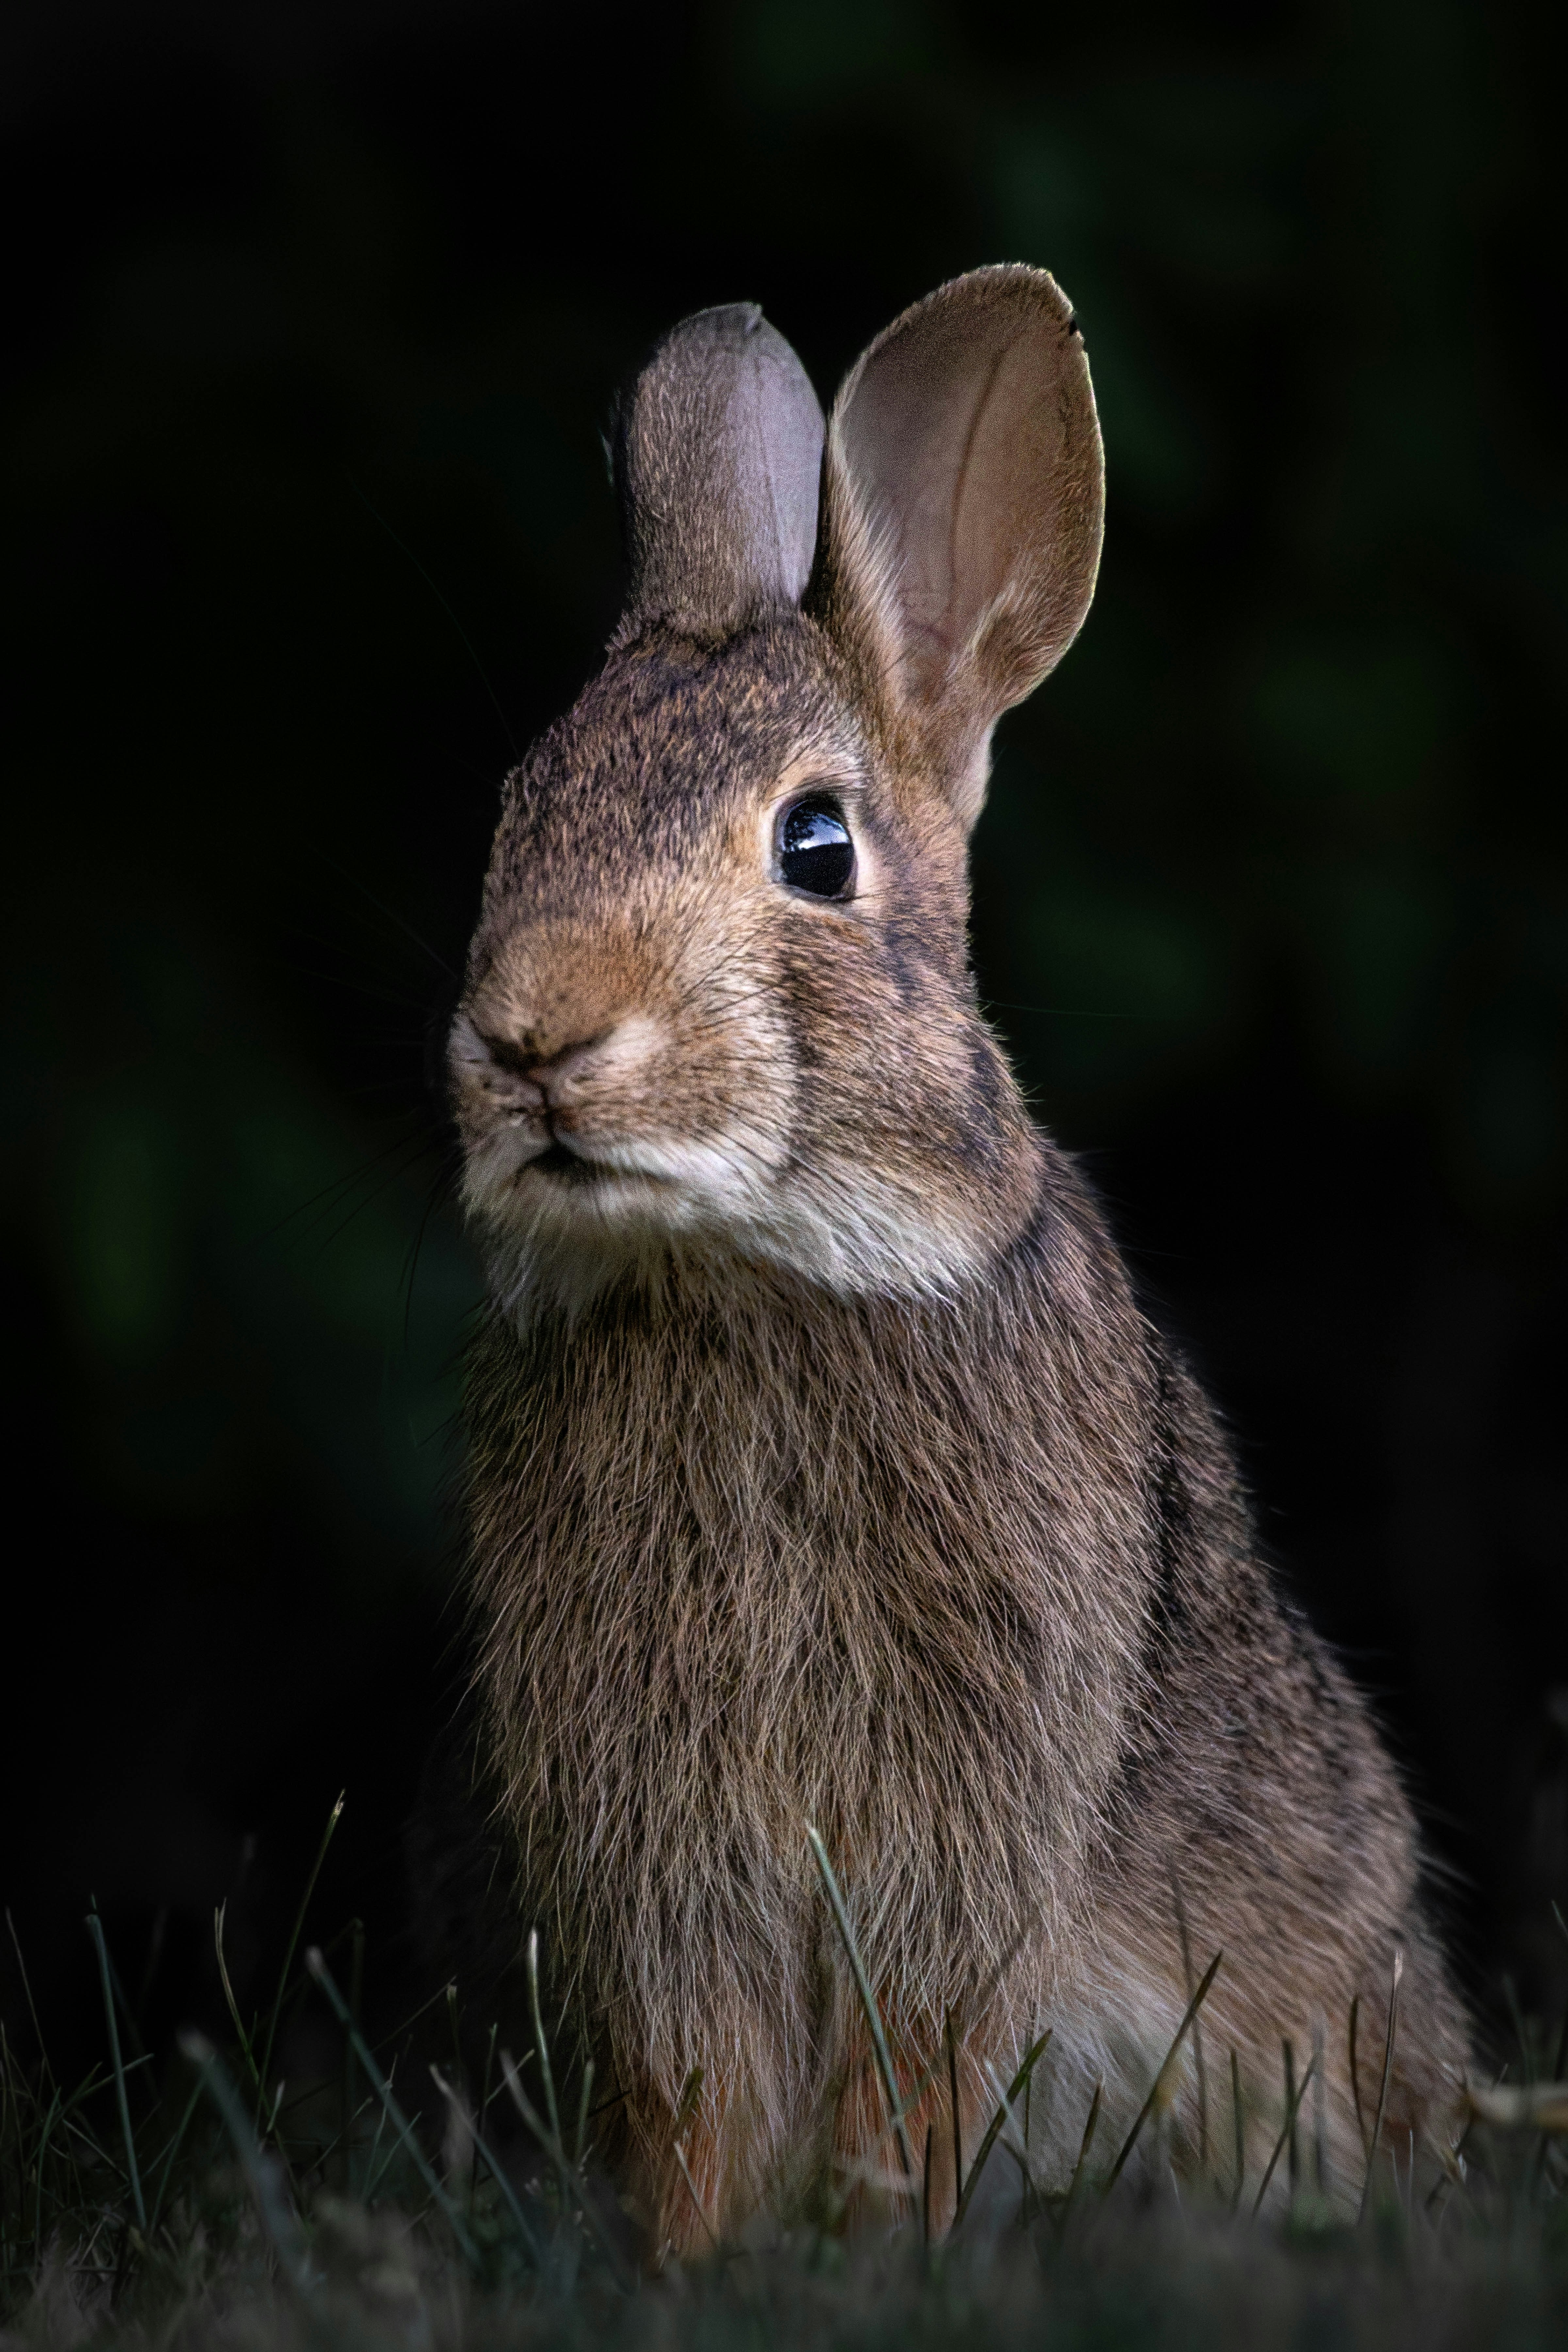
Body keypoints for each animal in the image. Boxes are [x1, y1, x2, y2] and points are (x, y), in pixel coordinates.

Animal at [441, 266, 1471, 2252]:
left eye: (814, 845)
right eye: (520, 801)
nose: (531, 1036)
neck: (743, 1271)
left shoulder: (961, 1820)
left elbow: (912, 2054)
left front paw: (878, 2238)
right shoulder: (655, 1842)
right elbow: (695, 2085)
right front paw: (696, 2263)